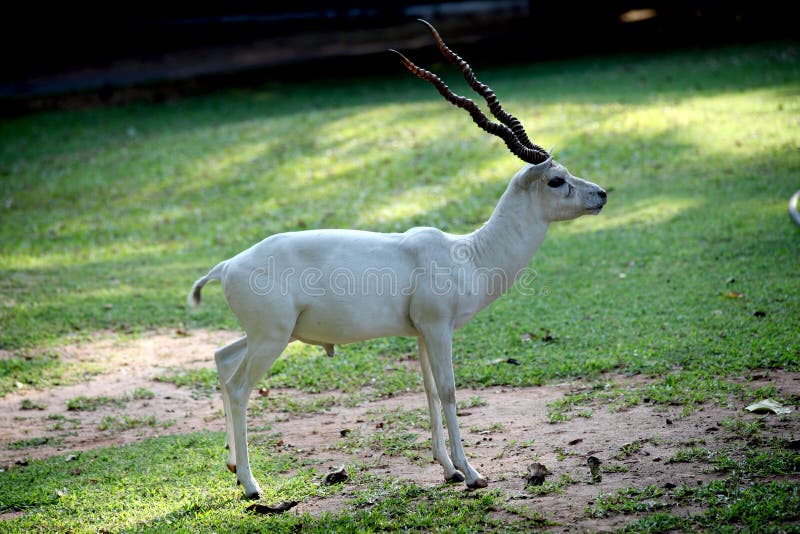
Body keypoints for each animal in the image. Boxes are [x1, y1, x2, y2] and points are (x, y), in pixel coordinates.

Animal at [188, 20, 607, 499]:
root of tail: (226, 266)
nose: (601, 194)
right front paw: (473, 473)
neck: (469, 255)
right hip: (271, 339)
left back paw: (231, 465)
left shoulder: (423, 332)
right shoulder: (439, 327)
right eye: (556, 180)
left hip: (267, 335)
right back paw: (251, 486)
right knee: (240, 388)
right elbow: (449, 391)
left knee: (222, 360)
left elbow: (428, 391)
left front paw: (448, 469)